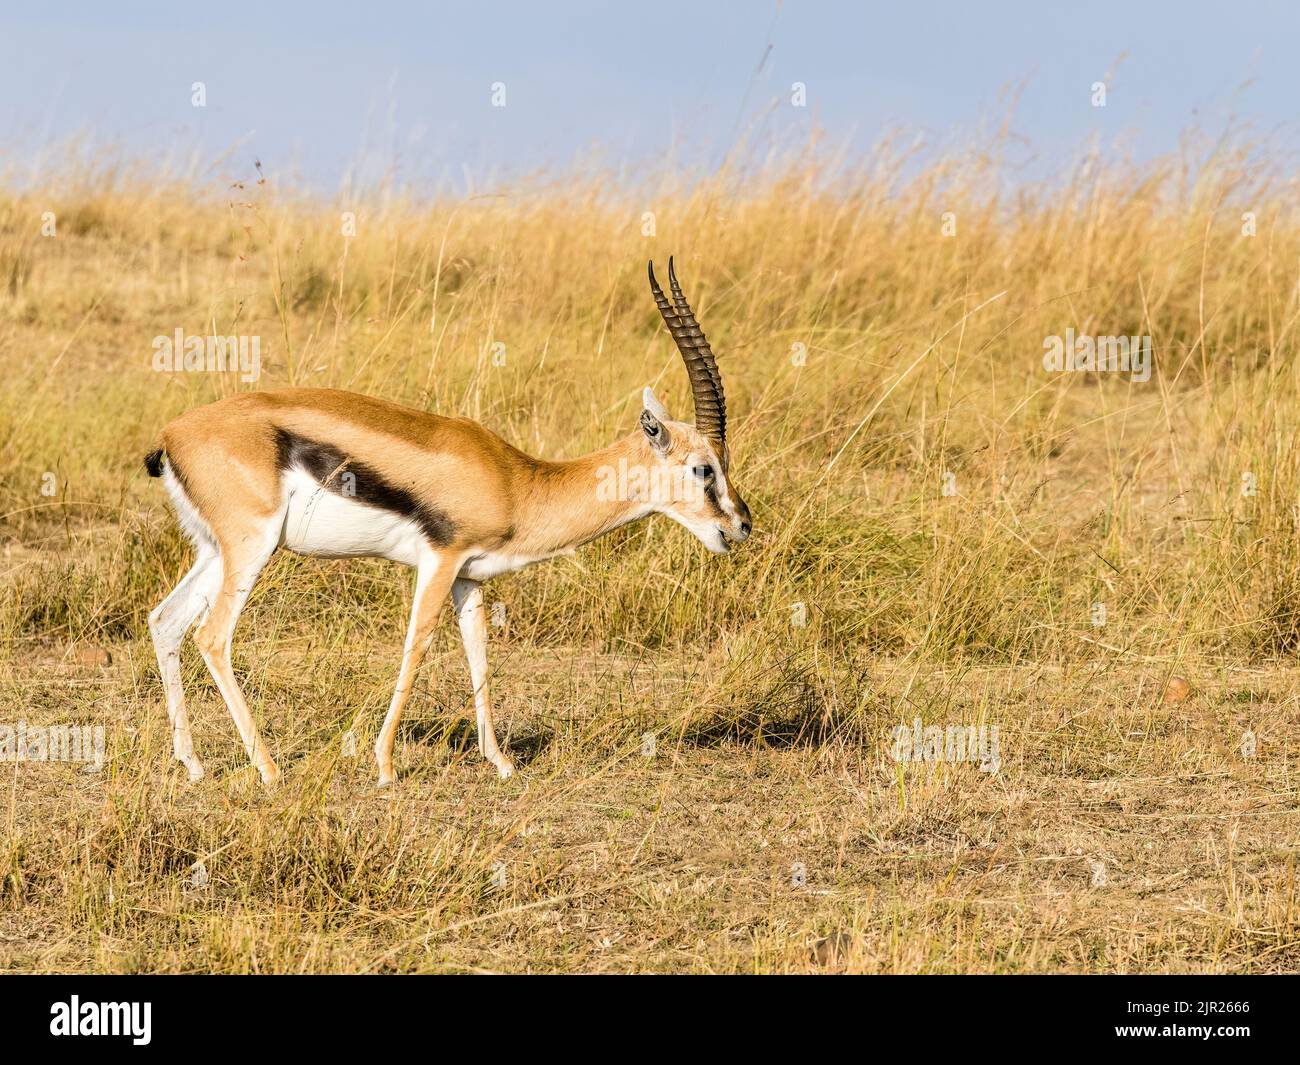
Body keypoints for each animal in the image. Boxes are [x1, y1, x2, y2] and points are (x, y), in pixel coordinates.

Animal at [144, 259, 752, 785]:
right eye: (704, 468)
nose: (741, 525)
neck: (518, 482)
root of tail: (172, 436)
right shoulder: (440, 559)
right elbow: (417, 645)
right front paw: (386, 766)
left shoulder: (470, 577)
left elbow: (479, 653)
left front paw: (501, 762)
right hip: (253, 547)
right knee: (212, 635)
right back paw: (269, 770)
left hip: (217, 551)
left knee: (165, 621)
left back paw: (193, 764)